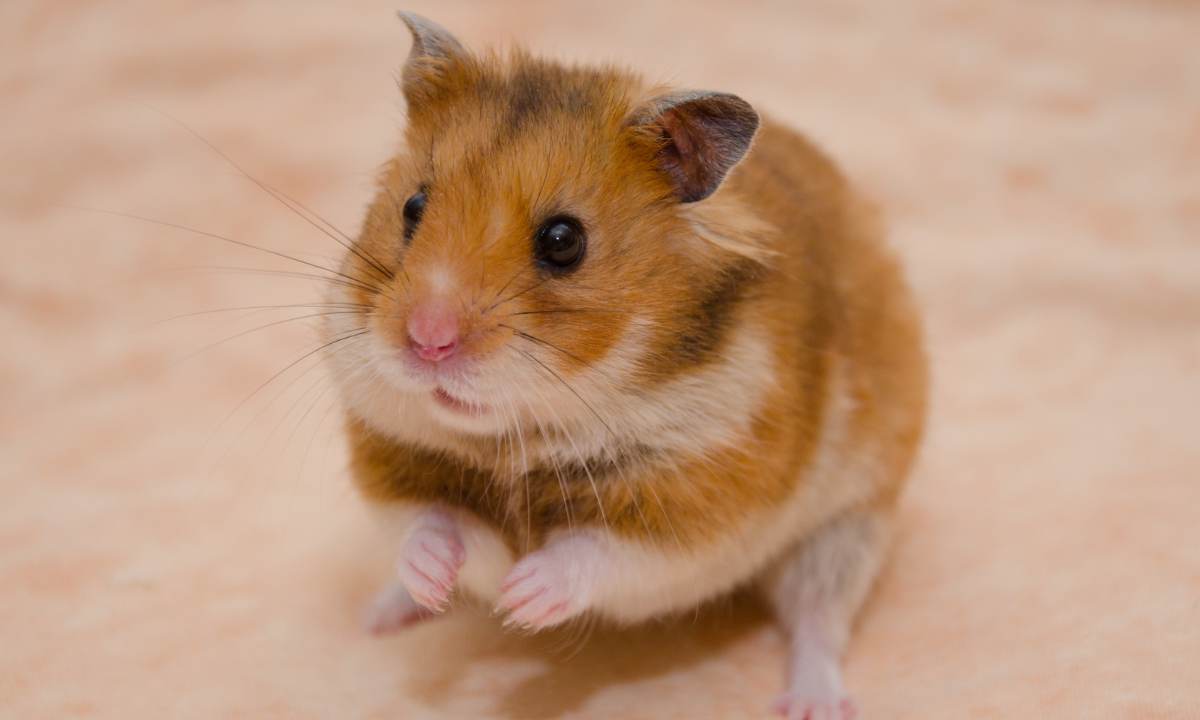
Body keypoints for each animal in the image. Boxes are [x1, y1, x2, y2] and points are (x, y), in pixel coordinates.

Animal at [324, 12, 927, 719]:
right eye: (412, 208)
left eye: (563, 241)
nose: (426, 342)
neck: (520, 436)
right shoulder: (393, 460)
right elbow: (432, 524)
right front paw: (446, 580)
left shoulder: (704, 499)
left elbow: (597, 551)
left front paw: (522, 597)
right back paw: (383, 615)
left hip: (849, 525)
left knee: (819, 620)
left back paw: (814, 703)